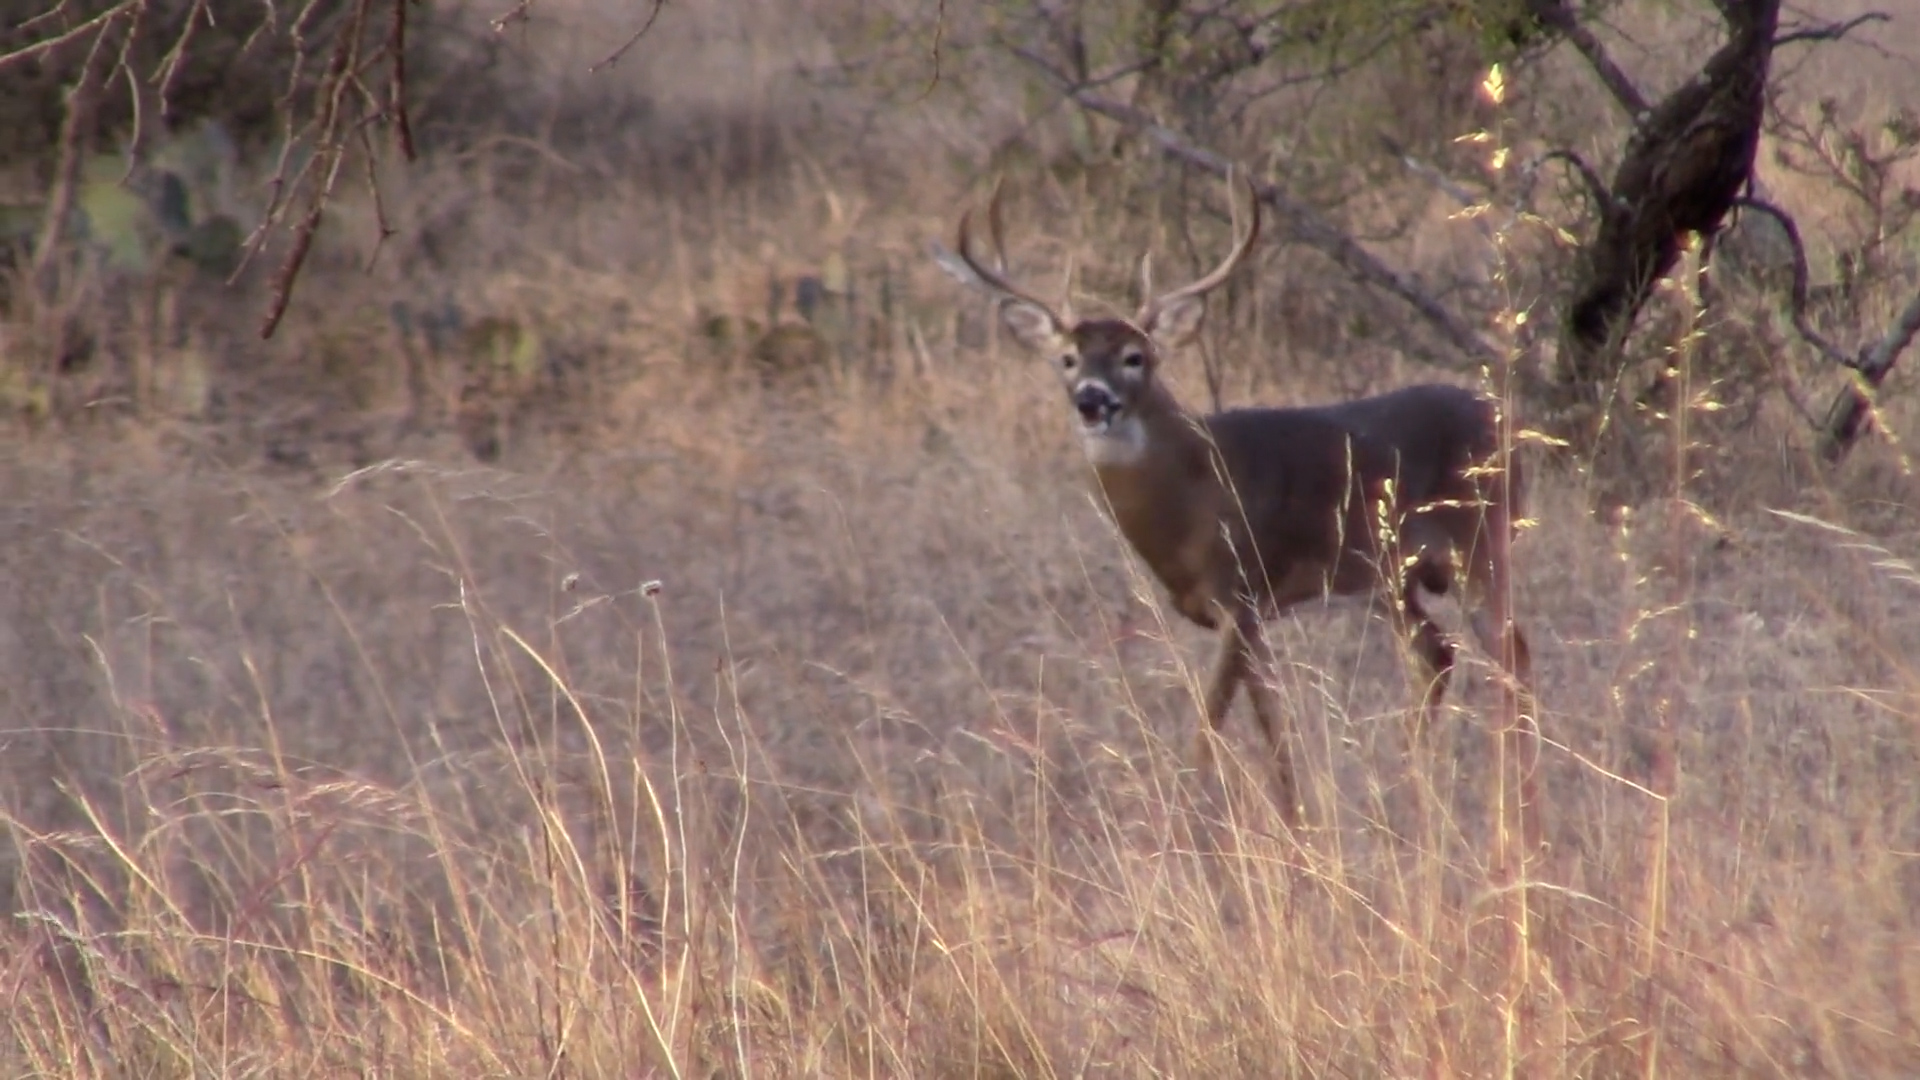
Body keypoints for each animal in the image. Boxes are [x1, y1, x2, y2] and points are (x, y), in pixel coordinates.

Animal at [935, 176, 1534, 827]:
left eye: (1135, 358)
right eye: (1067, 359)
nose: (1092, 399)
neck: (1192, 494)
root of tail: (1504, 419)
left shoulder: (1239, 591)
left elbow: (1209, 727)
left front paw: (1179, 824)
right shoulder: (1244, 610)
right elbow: (1273, 727)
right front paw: (1297, 825)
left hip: (1482, 541)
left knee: (1512, 652)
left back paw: (1516, 804)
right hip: (1389, 578)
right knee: (1439, 654)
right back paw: (1413, 788)